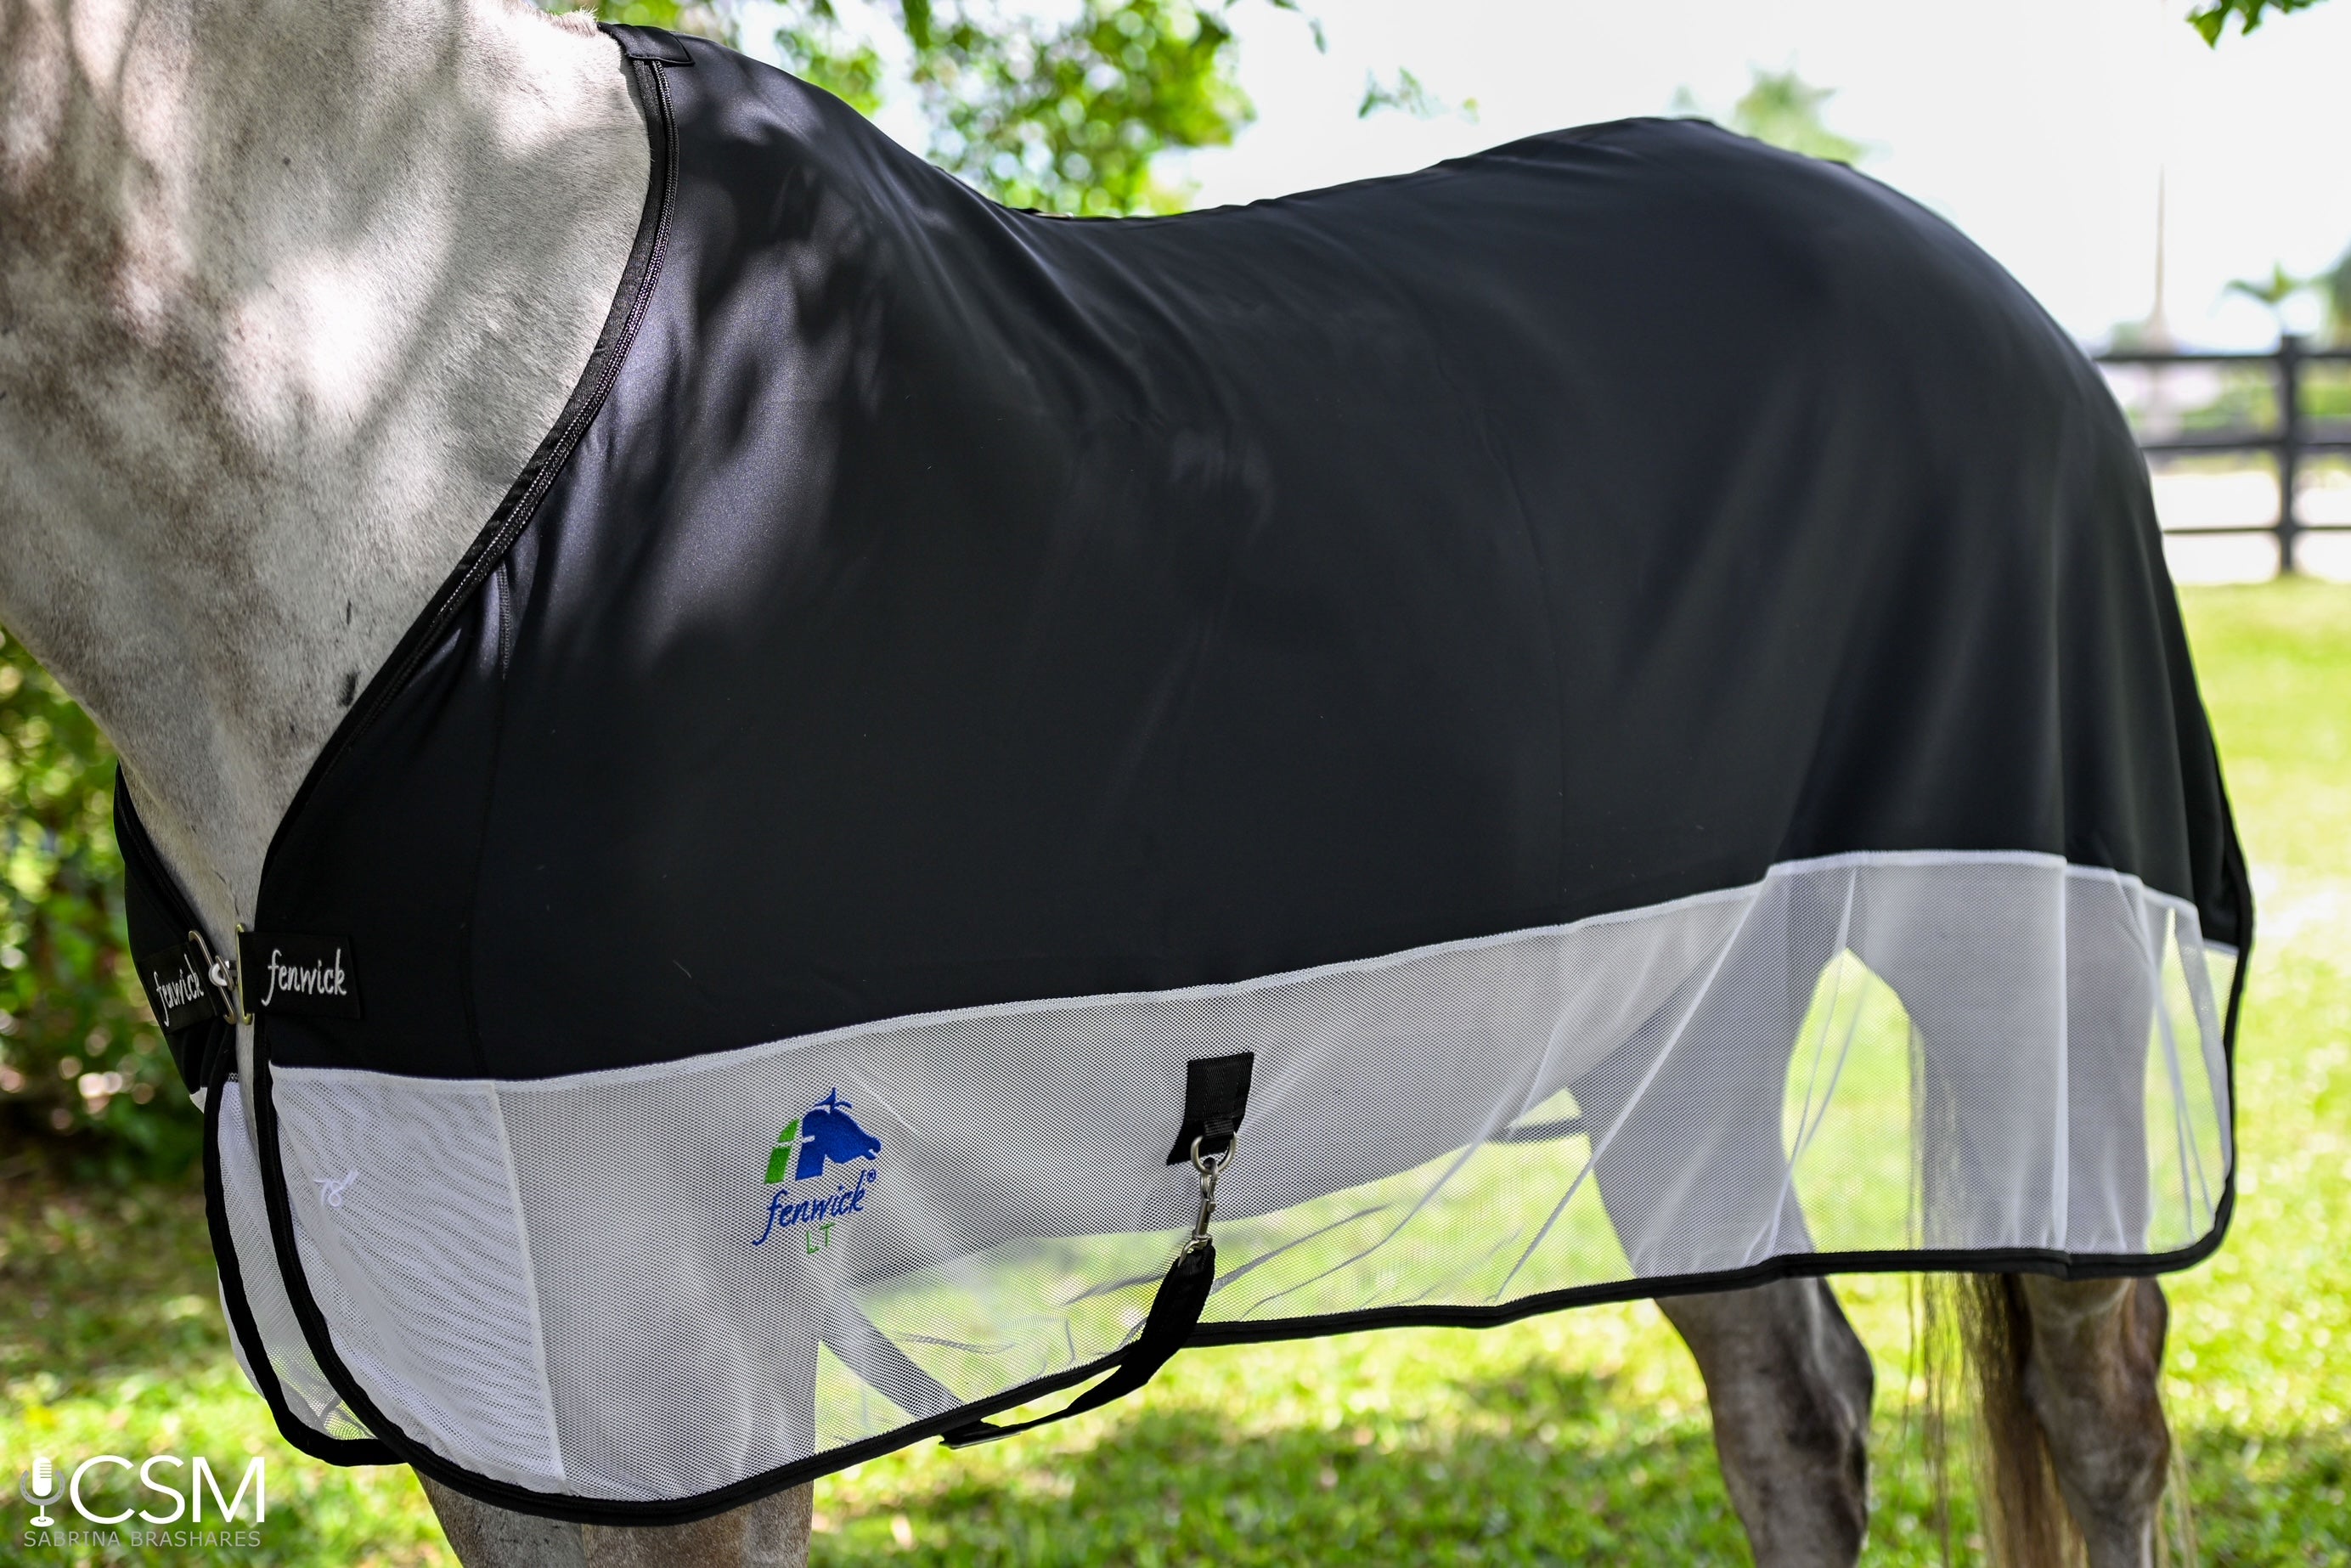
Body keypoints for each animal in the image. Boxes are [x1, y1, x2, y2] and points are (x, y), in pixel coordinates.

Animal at [0, 3, 2221, 1564]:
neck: (413, 403)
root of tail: (2007, 307)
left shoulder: (677, 1336)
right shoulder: (475, 1323)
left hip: (2028, 954)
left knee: (2094, 1396)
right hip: (1680, 1009)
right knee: (1790, 1393)